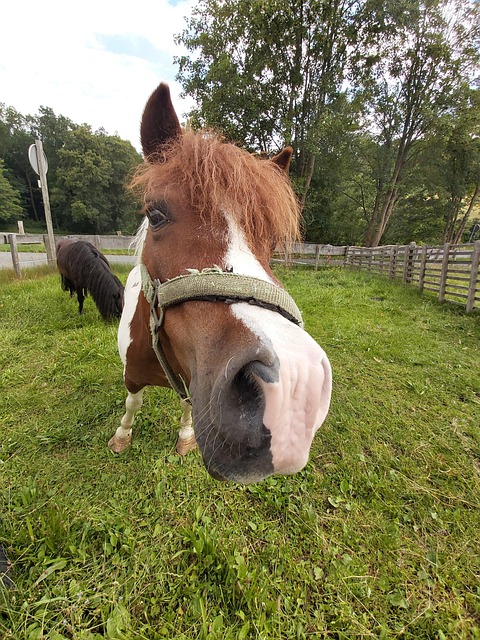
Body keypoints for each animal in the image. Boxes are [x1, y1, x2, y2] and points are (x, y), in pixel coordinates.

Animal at [109, 83, 332, 484]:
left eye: (272, 239)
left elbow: (186, 409)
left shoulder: (194, 382)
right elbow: (133, 402)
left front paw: (184, 439)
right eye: (155, 214)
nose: (294, 384)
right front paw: (122, 436)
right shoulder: (132, 375)